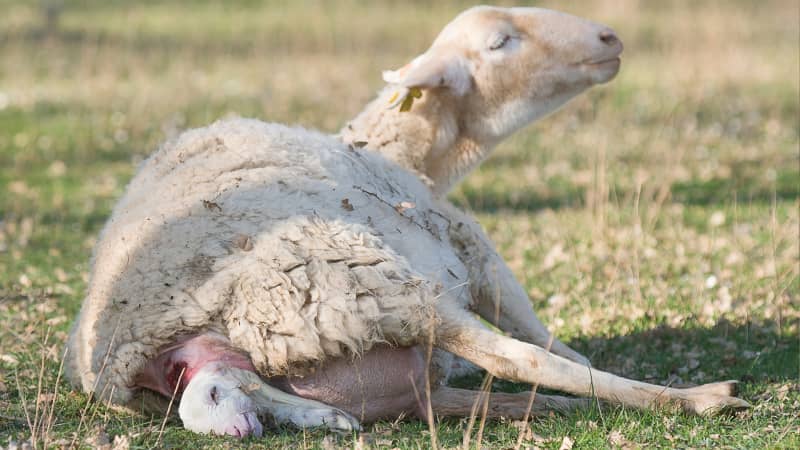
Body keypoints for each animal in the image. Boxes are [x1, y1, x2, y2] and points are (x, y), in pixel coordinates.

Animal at [66, 5, 749, 438]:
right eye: (501, 43)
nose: (608, 38)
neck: (401, 155)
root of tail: (134, 340)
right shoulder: (472, 249)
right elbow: (540, 333)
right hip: (375, 287)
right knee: (516, 359)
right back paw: (695, 399)